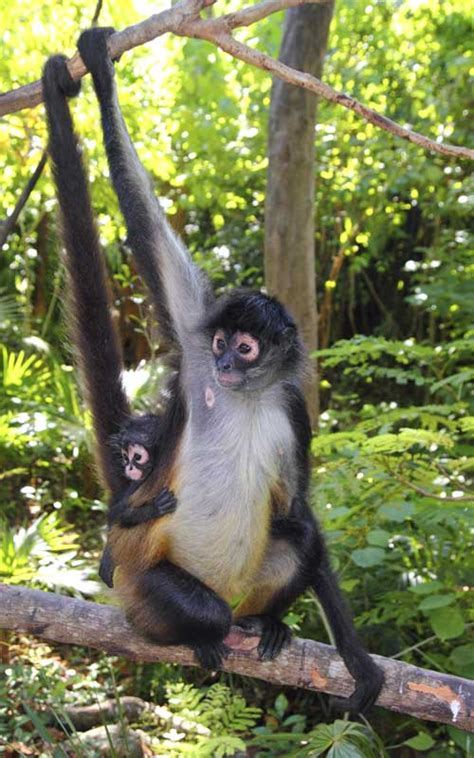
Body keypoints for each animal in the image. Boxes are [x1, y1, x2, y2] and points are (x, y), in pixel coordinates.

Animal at [41, 30, 384, 712]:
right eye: (222, 342)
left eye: (246, 349)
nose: (225, 362)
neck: (245, 398)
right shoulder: (194, 351)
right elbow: (147, 228)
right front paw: (100, 71)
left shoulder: (293, 408)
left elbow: (300, 514)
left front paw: (358, 661)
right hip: (145, 585)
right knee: (200, 607)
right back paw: (199, 633)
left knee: (296, 540)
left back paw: (262, 621)